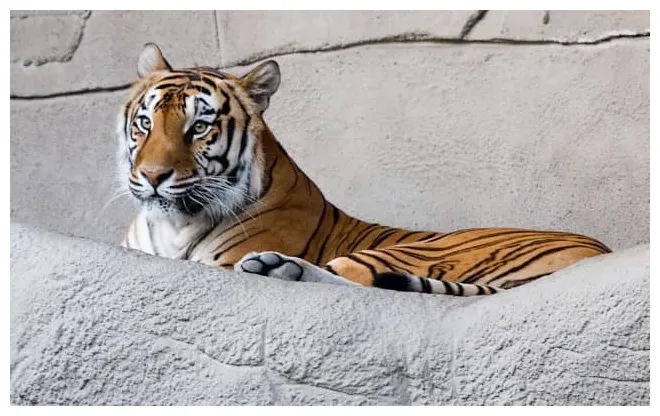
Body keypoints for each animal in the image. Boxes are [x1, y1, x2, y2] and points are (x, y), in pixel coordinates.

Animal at [117, 43, 611, 296]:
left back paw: (276, 267)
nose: (153, 176)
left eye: (199, 127)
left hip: (424, 250)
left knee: (353, 280)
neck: (173, 224)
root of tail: (600, 249)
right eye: (146, 123)